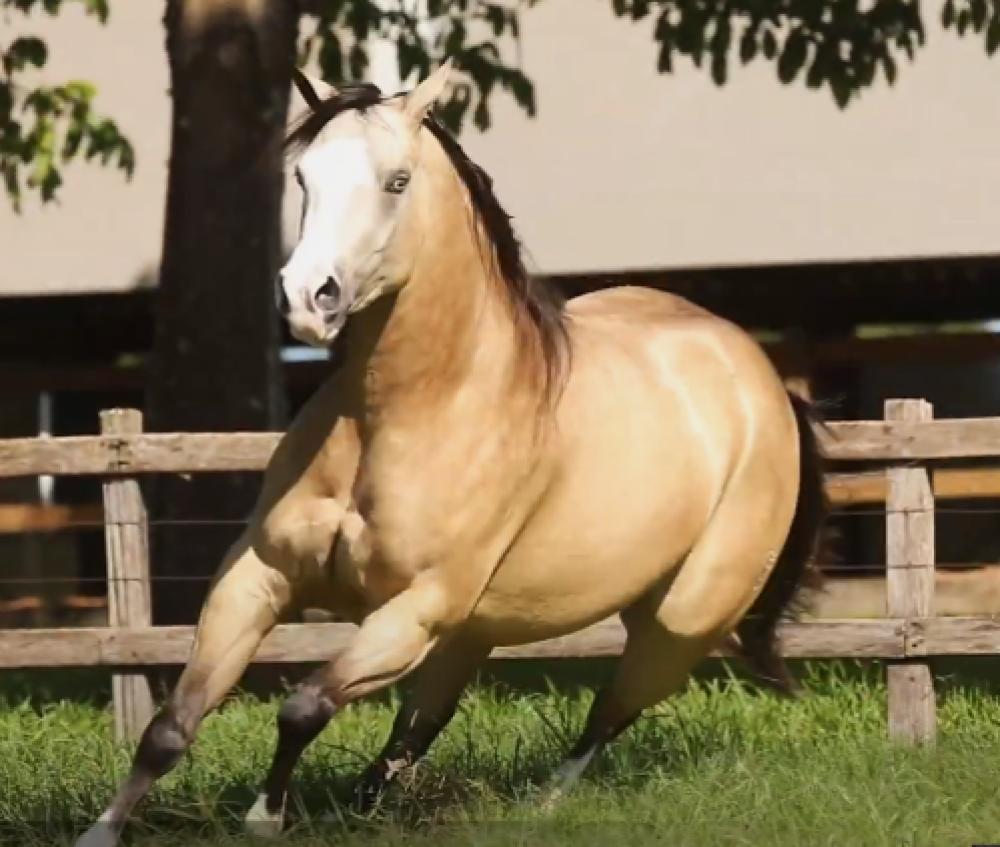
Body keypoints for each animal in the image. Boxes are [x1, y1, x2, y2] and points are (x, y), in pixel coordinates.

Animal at [75, 61, 826, 846]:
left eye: (397, 180)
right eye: (304, 176)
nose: (310, 300)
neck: (412, 412)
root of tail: (760, 377)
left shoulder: (416, 609)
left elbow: (304, 705)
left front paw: (264, 816)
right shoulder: (256, 575)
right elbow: (172, 725)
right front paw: (102, 833)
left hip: (678, 623)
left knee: (607, 713)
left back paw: (542, 805)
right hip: (476, 629)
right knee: (417, 729)